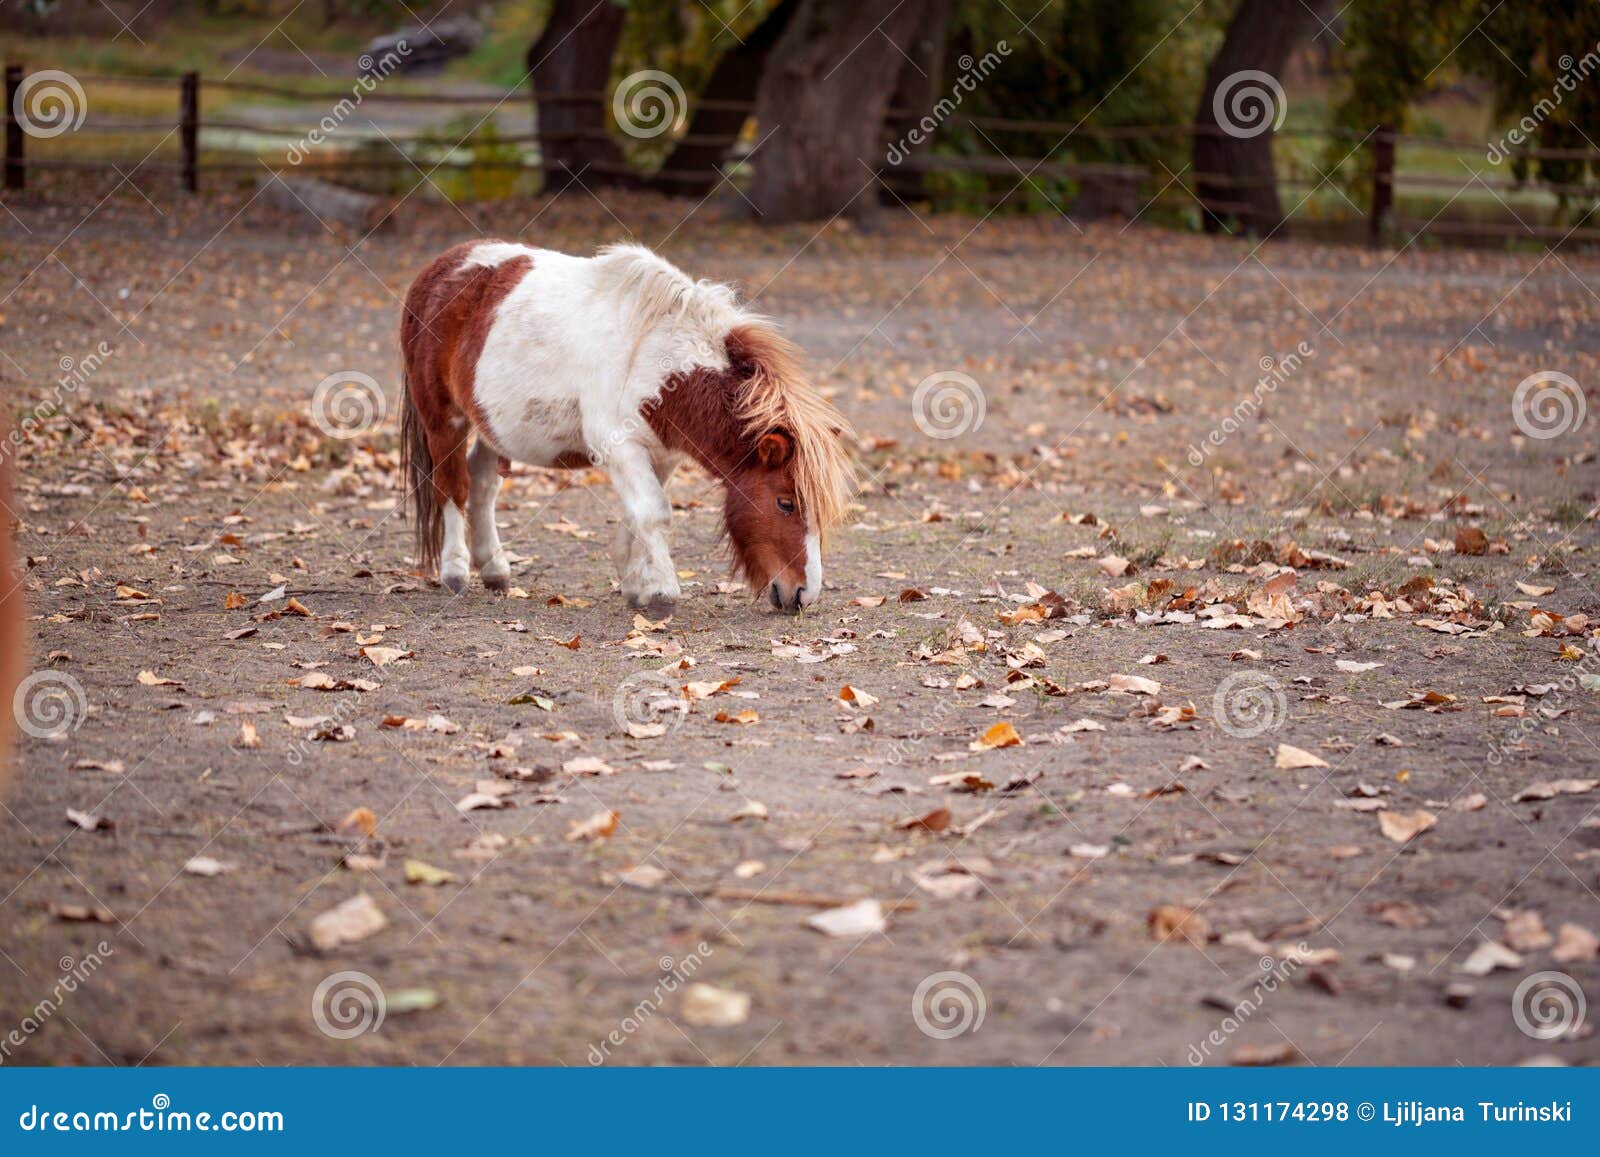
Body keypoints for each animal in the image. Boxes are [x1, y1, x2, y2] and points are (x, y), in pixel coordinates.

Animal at [398, 241, 854, 612]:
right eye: (785, 503)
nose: (804, 594)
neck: (663, 363)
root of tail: (439, 268)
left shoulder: (661, 455)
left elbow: (637, 516)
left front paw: (637, 585)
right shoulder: (621, 449)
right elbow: (654, 514)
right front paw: (663, 592)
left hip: (493, 424)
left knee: (483, 481)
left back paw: (494, 568)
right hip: (444, 420)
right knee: (452, 487)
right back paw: (456, 571)